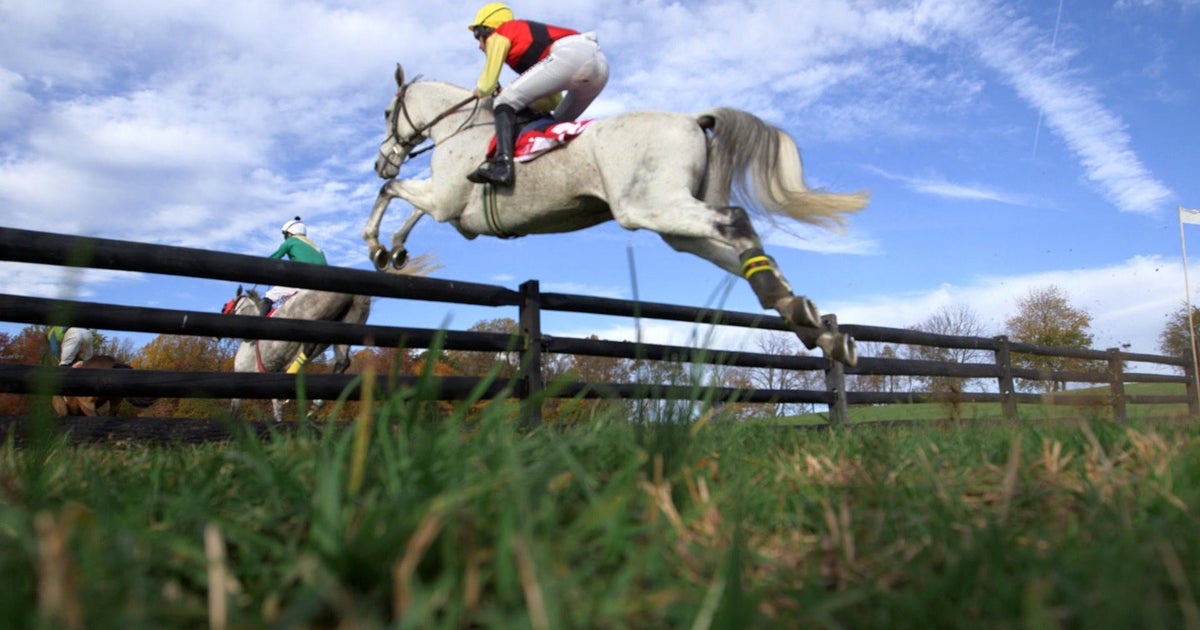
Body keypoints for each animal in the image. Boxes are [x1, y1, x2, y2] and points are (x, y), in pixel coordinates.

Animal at [221, 285, 372, 422]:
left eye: (224, 307)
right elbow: (278, 411)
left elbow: (235, 411)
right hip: (352, 317)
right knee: (342, 362)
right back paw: (315, 405)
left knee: (310, 347)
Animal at [363, 65, 870, 366]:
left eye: (388, 112)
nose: (382, 160)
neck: (462, 129)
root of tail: (694, 119)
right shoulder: (450, 208)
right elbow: (410, 210)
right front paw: (396, 251)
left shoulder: (445, 200)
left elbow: (393, 194)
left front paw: (376, 246)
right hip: (675, 220)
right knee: (736, 249)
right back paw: (810, 322)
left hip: (648, 206)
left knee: (736, 222)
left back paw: (791, 306)